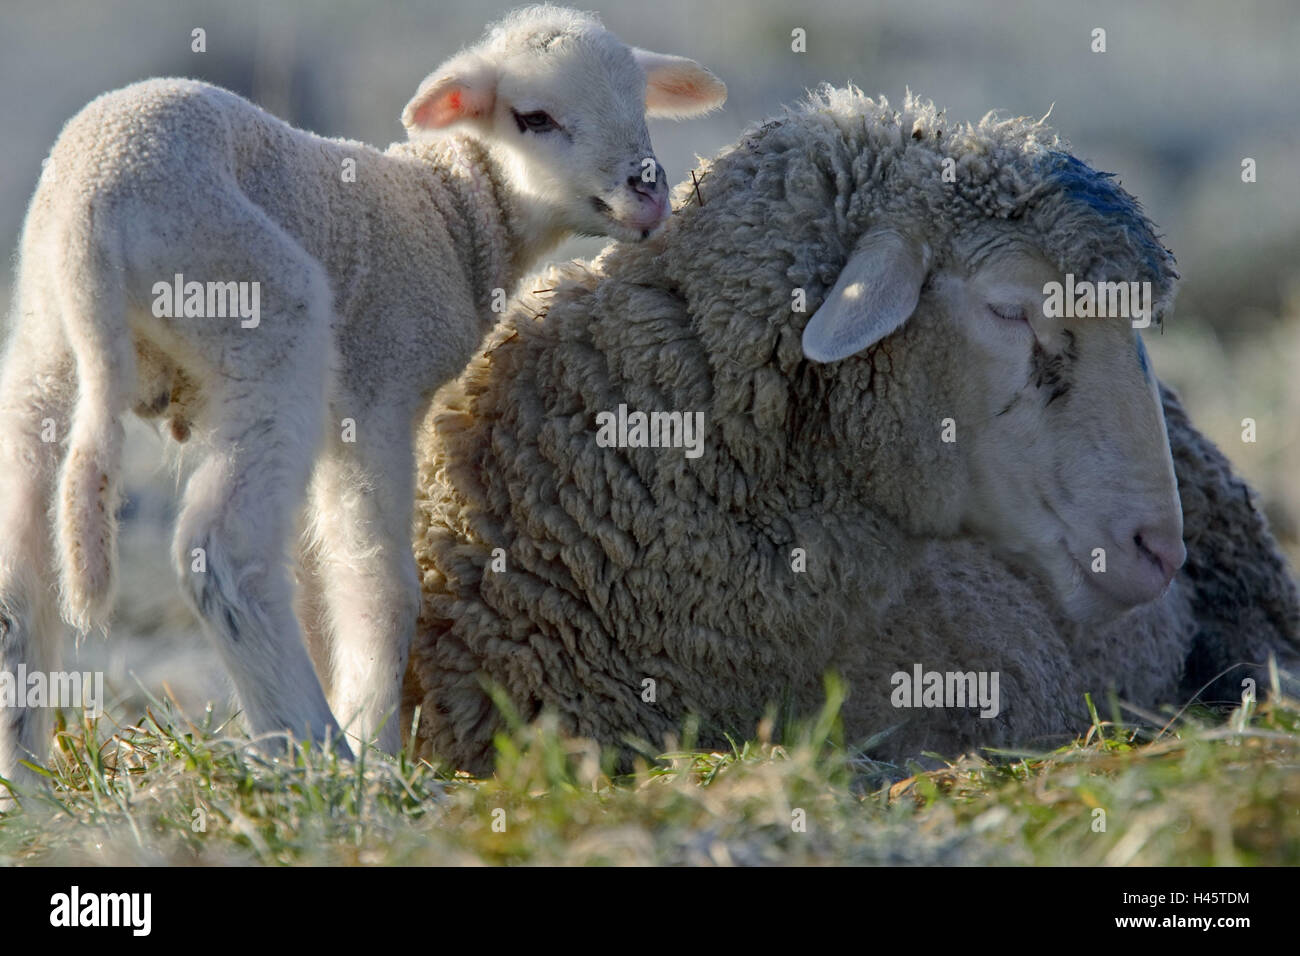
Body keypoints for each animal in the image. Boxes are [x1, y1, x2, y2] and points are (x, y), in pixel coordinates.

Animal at [0, 4, 727, 786]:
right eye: (534, 117)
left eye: (640, 104)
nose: (648, 190)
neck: (454, 211)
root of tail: (91, 216)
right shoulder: (379, 388)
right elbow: (379, 583)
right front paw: (376, 747)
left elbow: (322, 584)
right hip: (263, 317)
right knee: (223, 551)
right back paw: (313, 754)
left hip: (43, 341)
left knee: (21, 565)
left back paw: (30, 784)